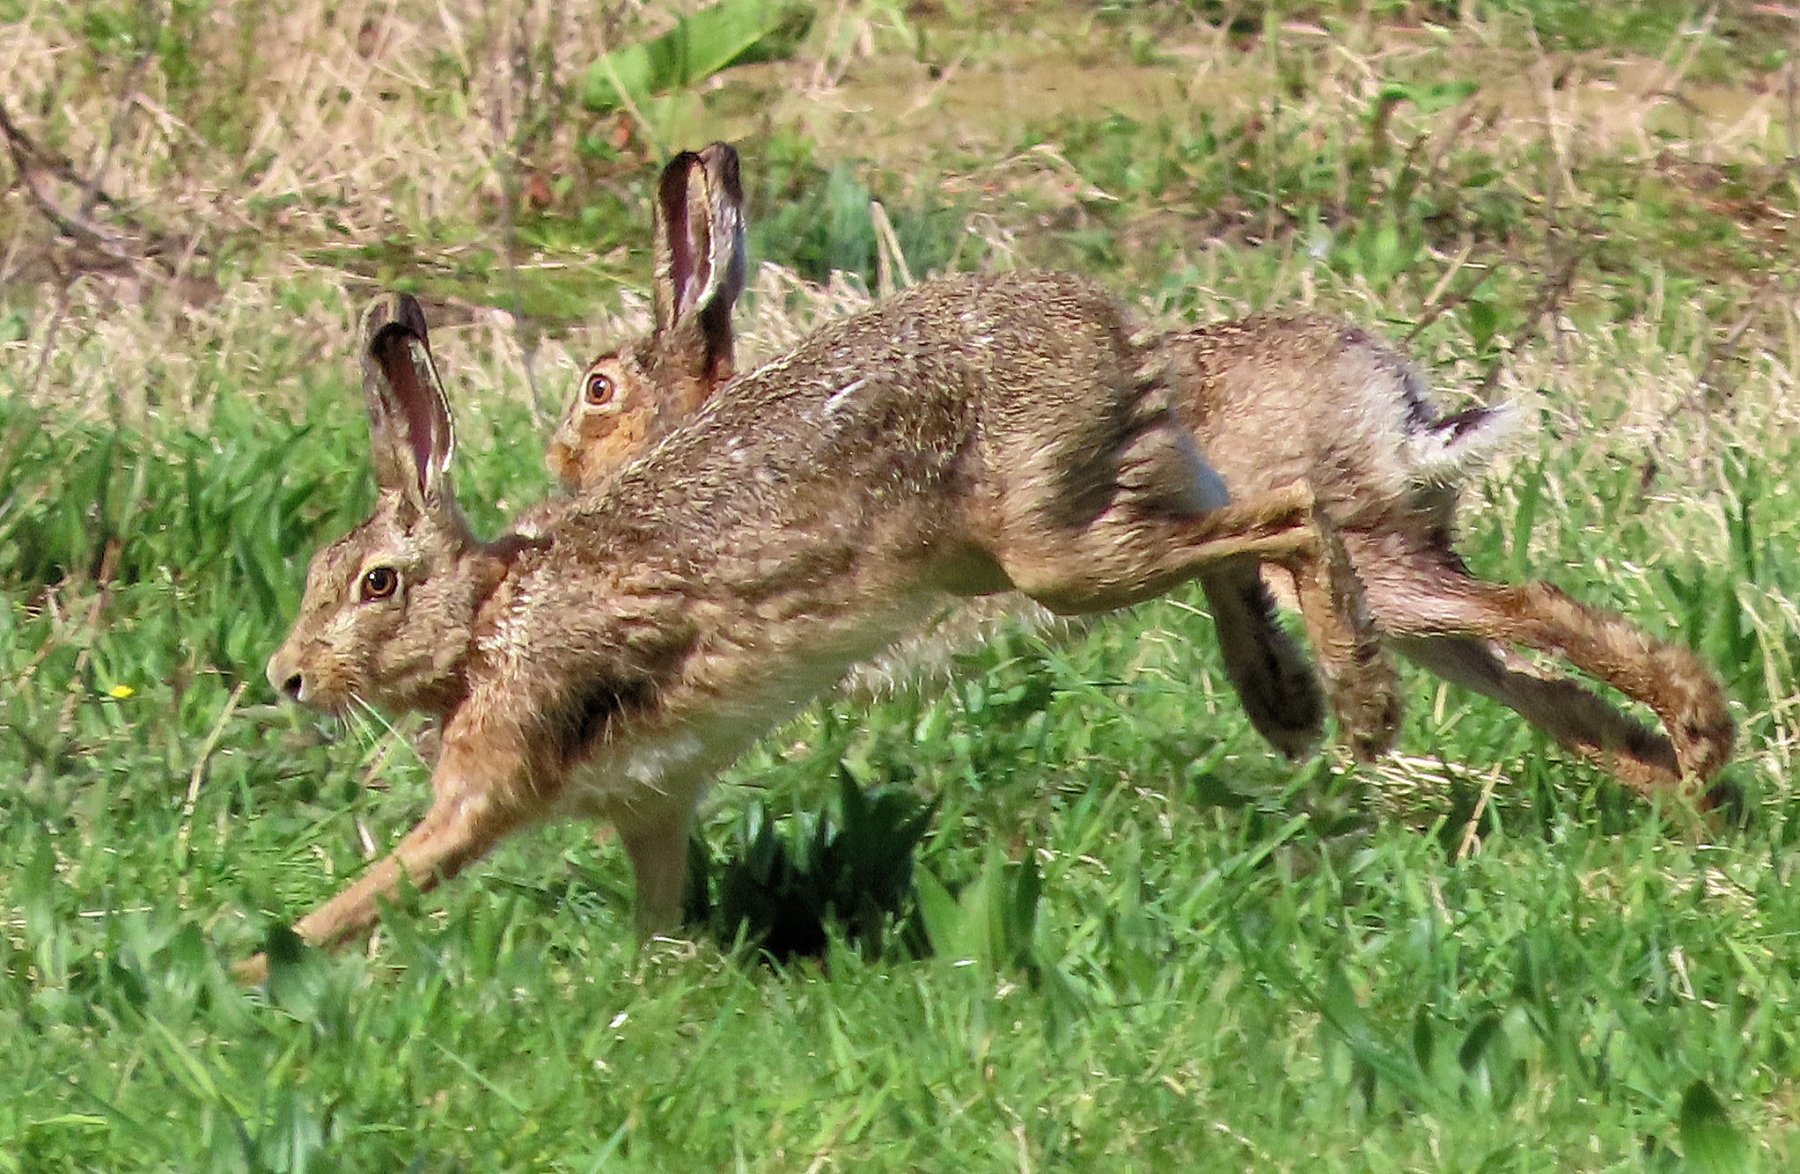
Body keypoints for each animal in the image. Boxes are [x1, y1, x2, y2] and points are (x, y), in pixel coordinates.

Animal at [246, 277, 1397, 980]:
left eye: (377, 584)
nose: (286, 677)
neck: (488, 620)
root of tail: (1099, 321)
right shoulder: (653, 805)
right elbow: (657, 897)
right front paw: (651, 981)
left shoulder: (491, 784)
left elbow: (380, 888)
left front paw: (250, 967)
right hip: (1076, 512)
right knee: (1244, 524)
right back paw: (1287, 699)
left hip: (1051, 552)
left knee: (1295, 514)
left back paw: (1366, 705)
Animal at [545, 147, 1734, 804]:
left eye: (599, 388)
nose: (558, 467)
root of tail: (1398, 402)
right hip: (1399, 572)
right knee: (1526, 673)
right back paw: (1679, 790)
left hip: (1371, 556)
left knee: (1524, 607)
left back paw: (1694, 741)